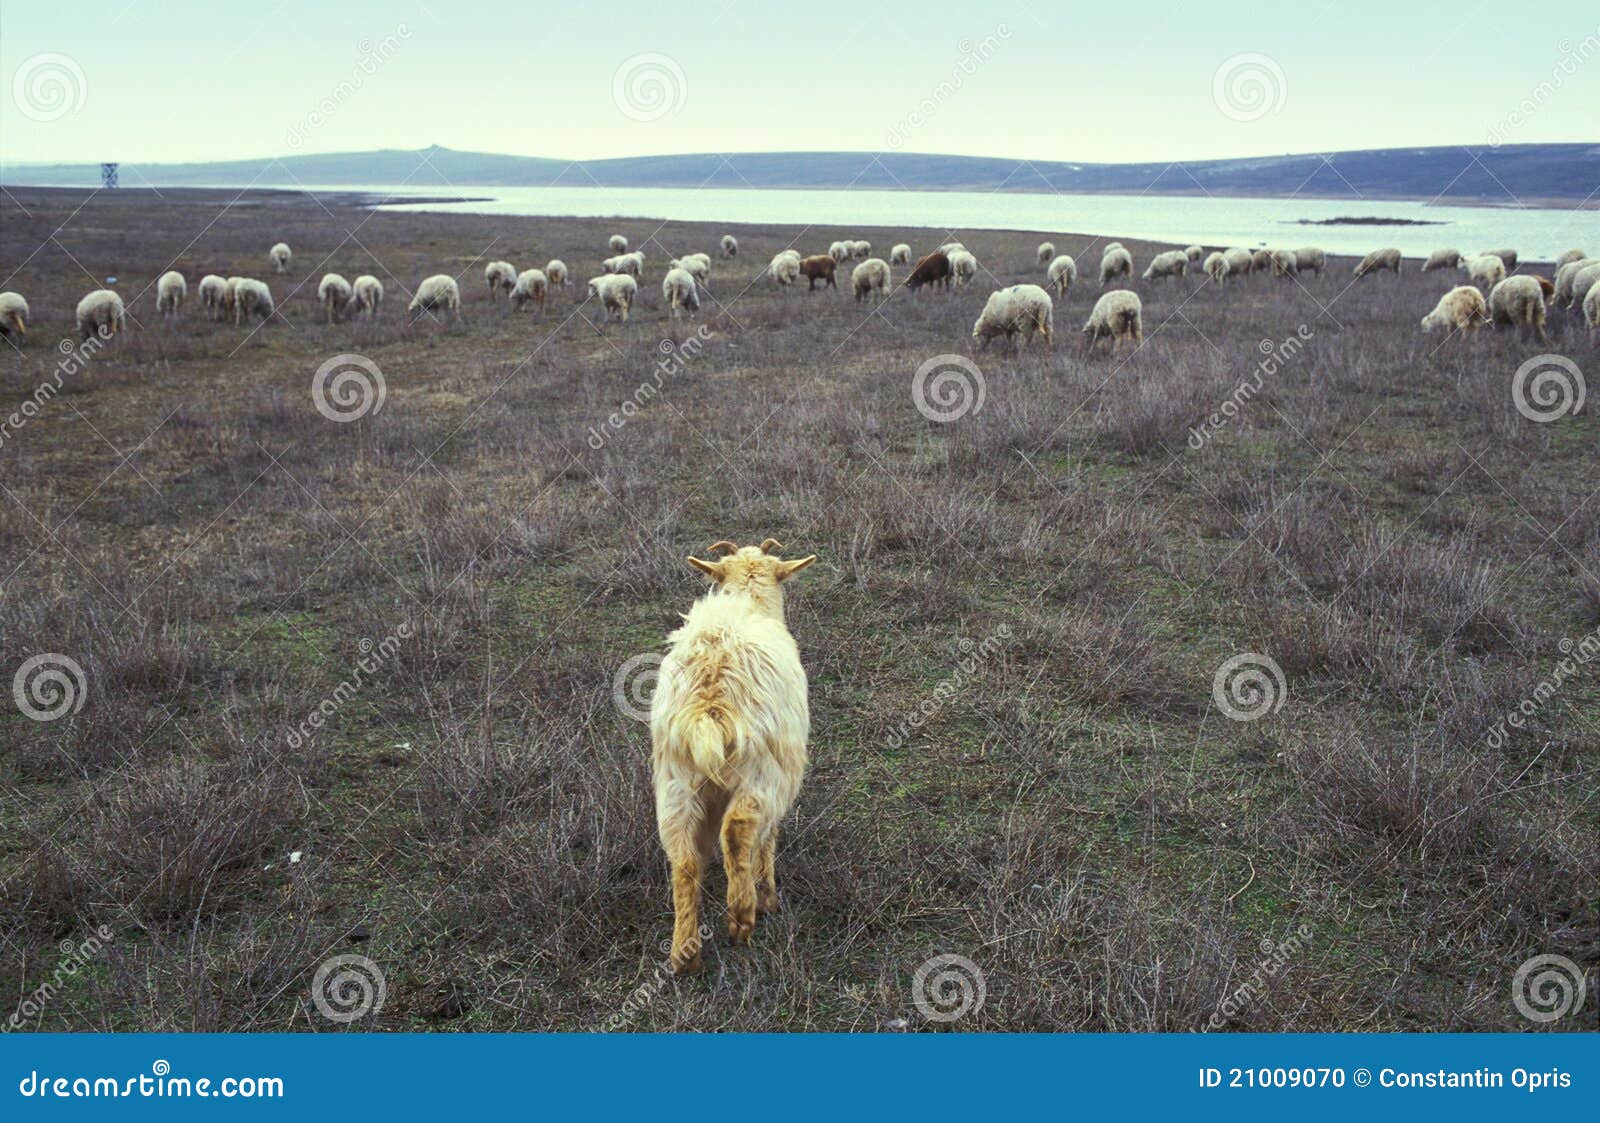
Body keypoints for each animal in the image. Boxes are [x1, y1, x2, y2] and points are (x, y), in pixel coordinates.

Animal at [651, 538, 816, 973]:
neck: (749, 602)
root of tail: (710, 705)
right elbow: (767, 838)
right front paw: (770, 896)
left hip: (675, 781)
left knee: (684, 861)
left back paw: (685, 954)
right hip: (762, 771)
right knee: (739, 829)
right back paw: (742, 917)